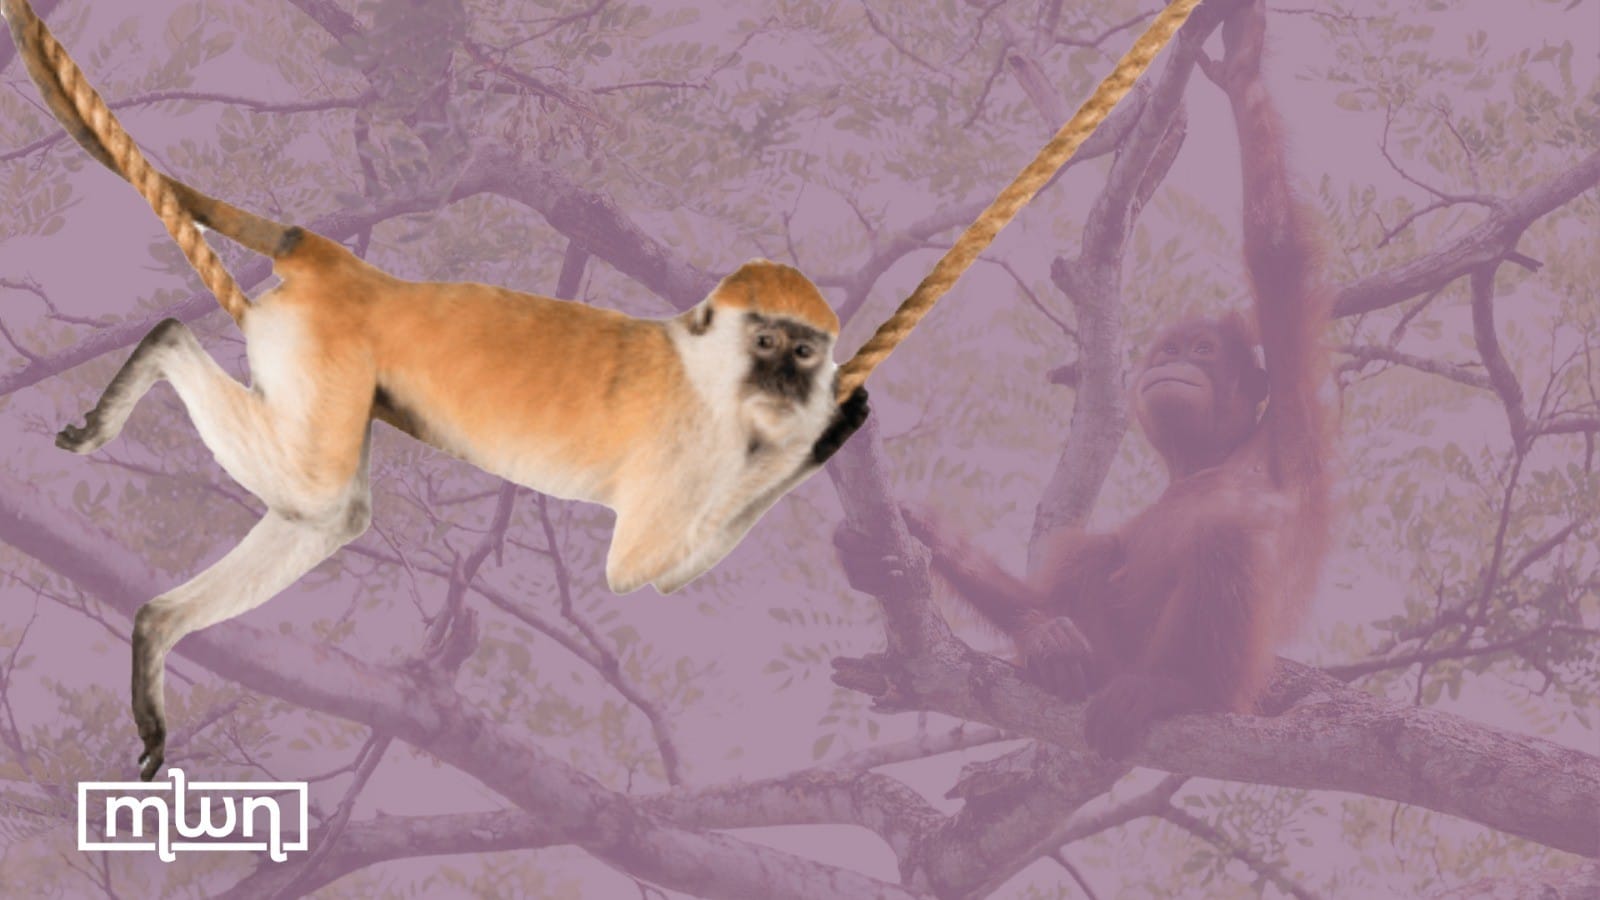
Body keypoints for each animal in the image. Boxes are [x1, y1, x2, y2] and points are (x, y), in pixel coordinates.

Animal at [837, 0, 1333, 759]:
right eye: (1167, 350)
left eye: (1202, 349)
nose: (1172, 363)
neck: (1207, 461)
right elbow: (1057, 583)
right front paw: (901, 538)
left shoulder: (1292, 416)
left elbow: (1275, 253)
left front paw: (1244, 69)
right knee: (1093, 556)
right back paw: (1056, 652)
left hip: (1234, 689)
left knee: (1226, 536)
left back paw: (1176, 689)